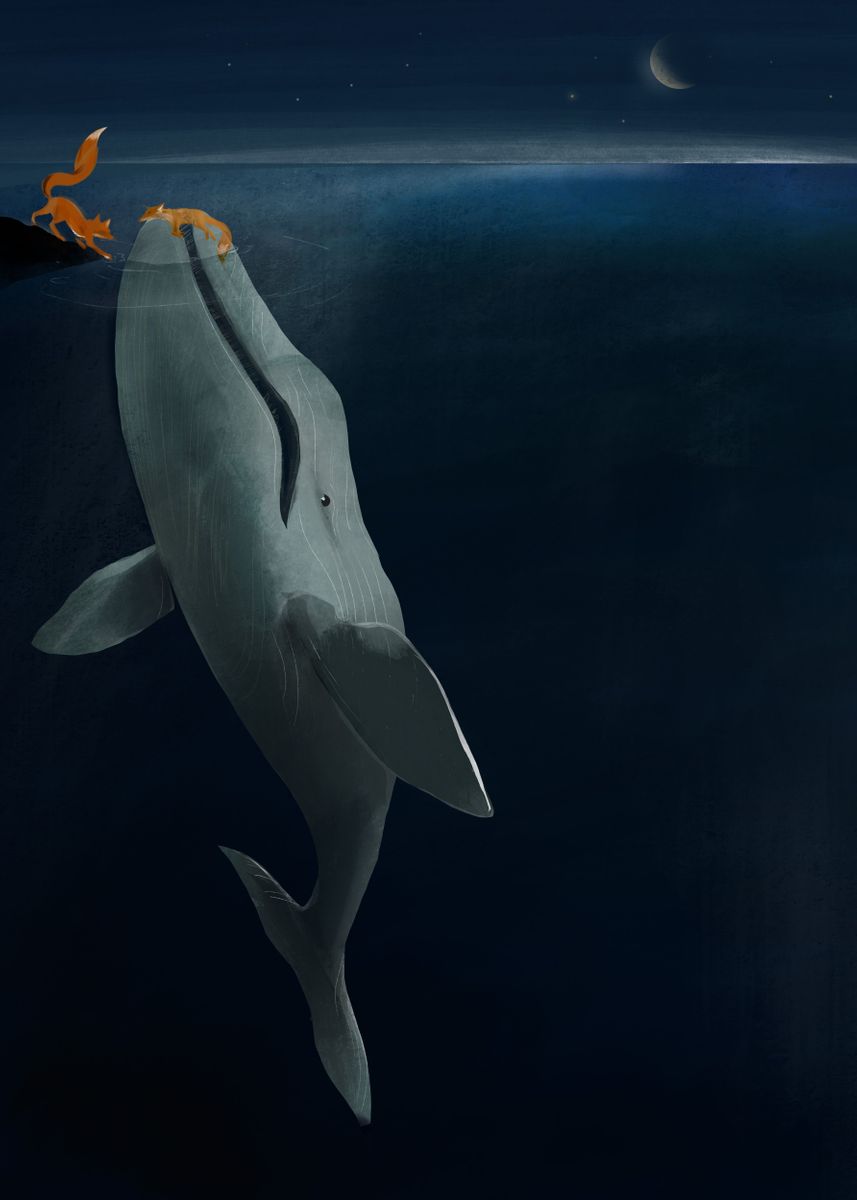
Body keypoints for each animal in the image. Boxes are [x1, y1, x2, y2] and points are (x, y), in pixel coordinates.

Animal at [31, 126, 114, 260]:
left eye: (109, 231)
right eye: (103, 232)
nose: (112, 237)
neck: (90, 226)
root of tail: (53, 198)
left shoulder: (81, 236)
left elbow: (81, 242)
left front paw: (80, 245)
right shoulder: (89, 239)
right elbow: (96, 248)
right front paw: (107, 255)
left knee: (44, 218)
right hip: (59, 216)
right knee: (49, 222)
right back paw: (56, 234)